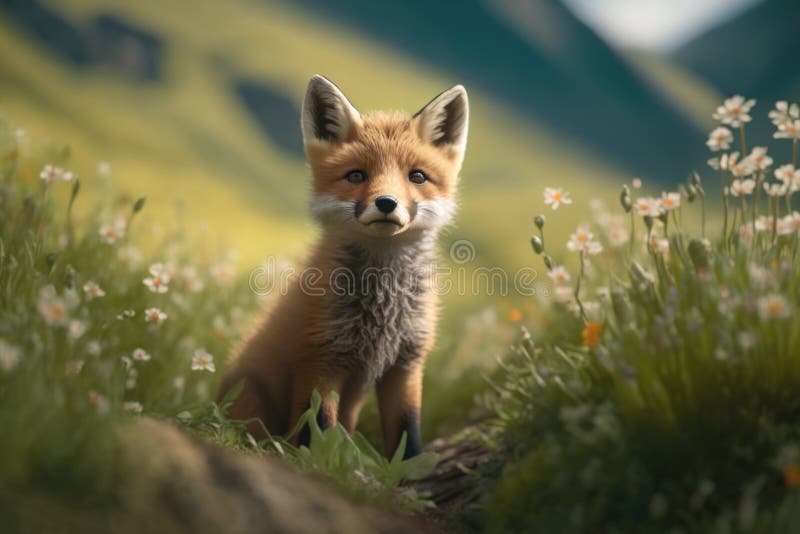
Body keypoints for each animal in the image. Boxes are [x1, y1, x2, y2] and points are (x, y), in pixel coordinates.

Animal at [217, 75, 468, 459]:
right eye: (356, 176)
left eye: (417, 177)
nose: (386, 202)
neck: (382, 316)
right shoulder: (320, 359)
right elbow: (317, 430)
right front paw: (313, 464)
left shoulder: (406, 364)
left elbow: (407, 432)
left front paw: (410, 470)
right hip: (253, 399)